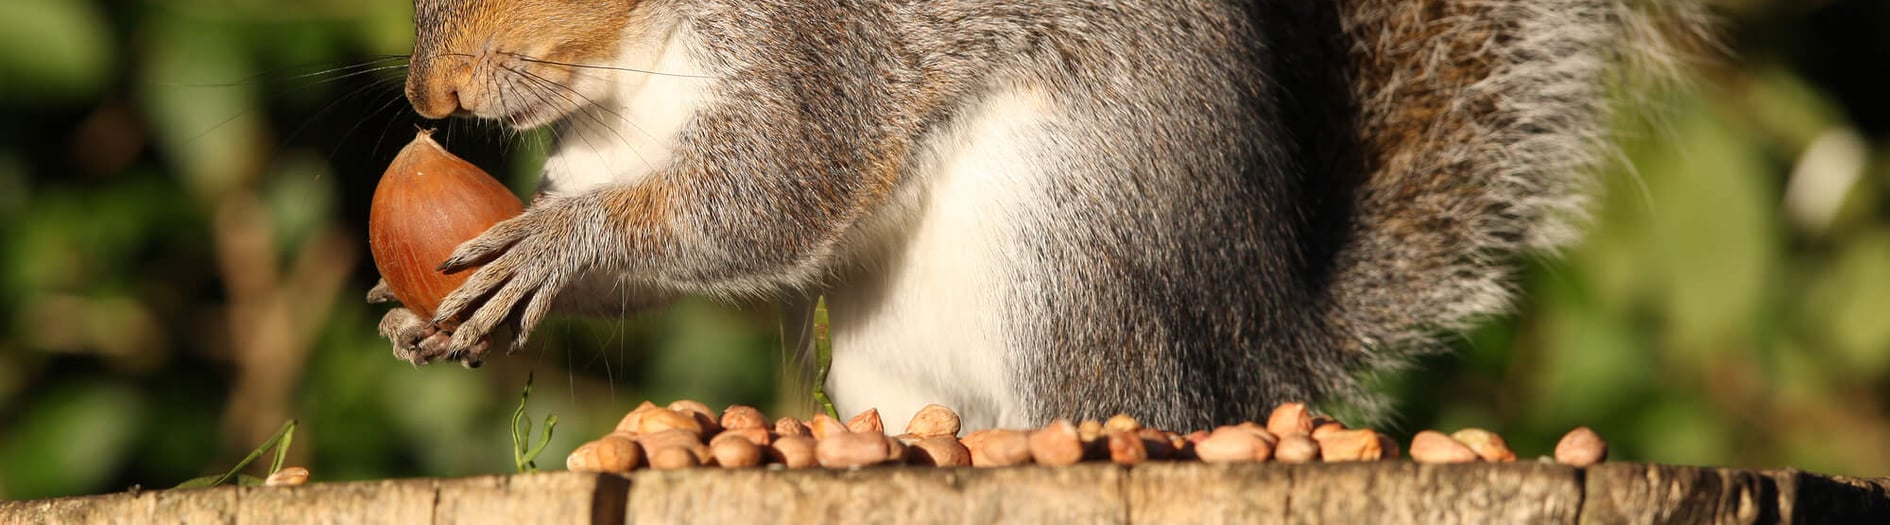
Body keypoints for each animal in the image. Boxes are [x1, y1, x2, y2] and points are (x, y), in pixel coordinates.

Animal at [372, 0, 1707, 431]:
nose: (425, 100)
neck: (631, 66)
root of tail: (1254, 352)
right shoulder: (613, 144)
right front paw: (432, 311)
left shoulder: (819, 59)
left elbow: (768, 197)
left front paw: (558, 246)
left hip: (1064, 264)